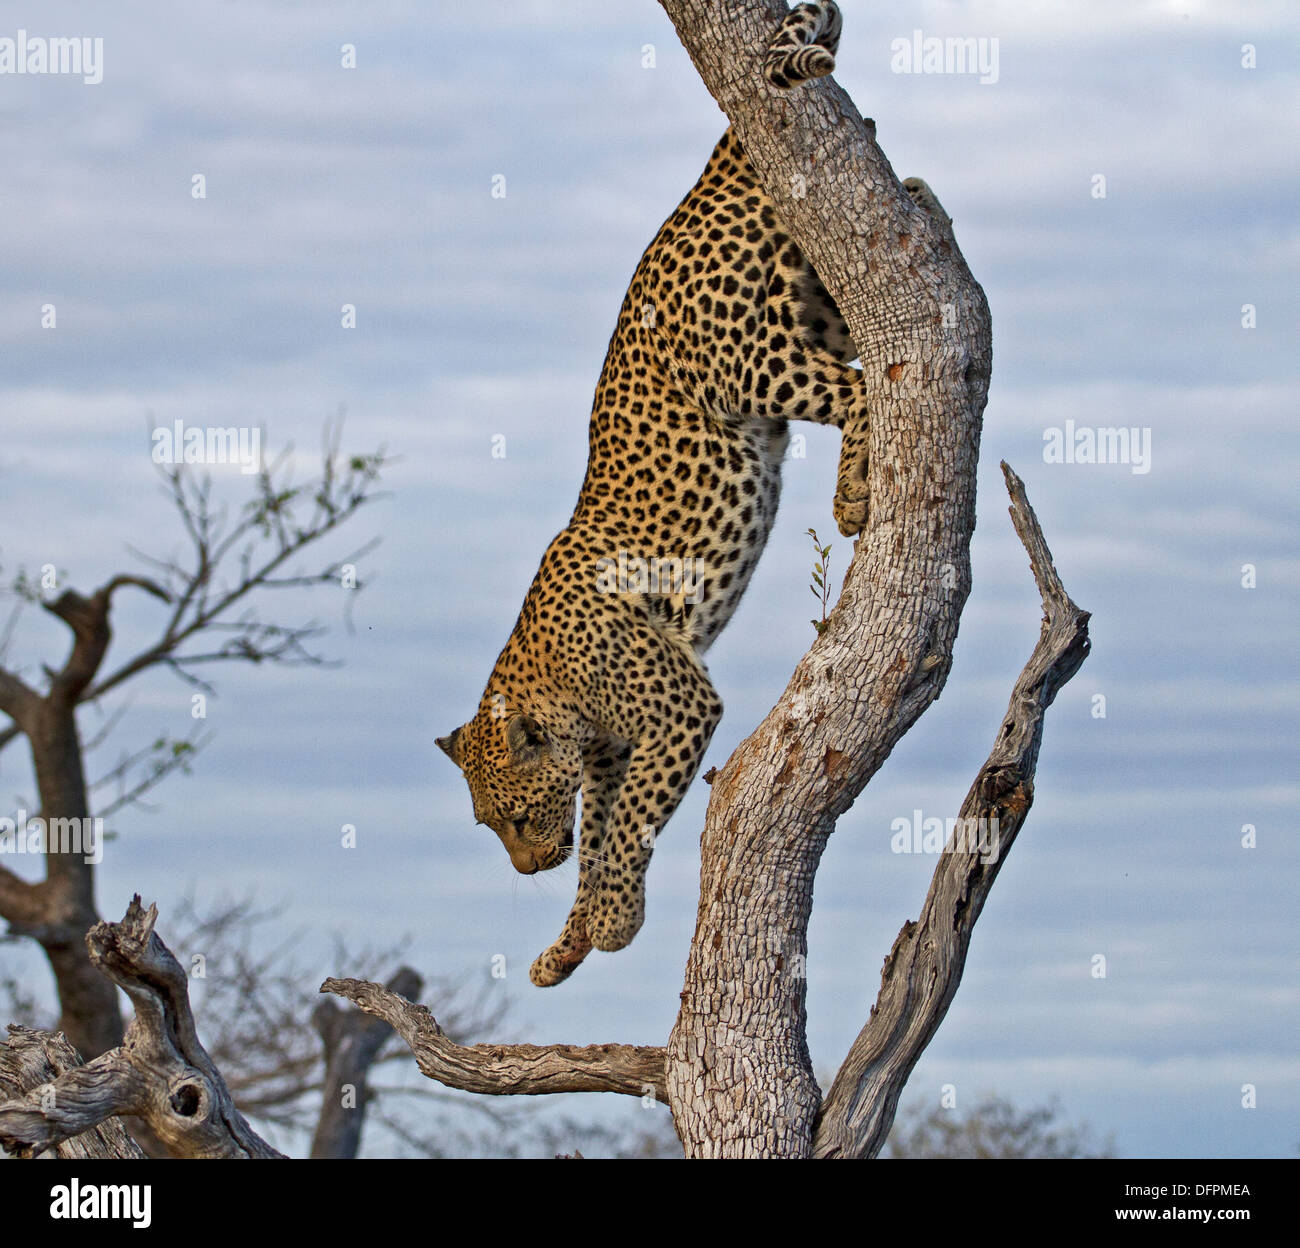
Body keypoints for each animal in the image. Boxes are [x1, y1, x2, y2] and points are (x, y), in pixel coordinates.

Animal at [437, 2, 940, 986]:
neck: (550, 683)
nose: (526, 864)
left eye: (511, 817)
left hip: (747, 364)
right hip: (802, 305)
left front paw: (609, 921)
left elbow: (629, 823)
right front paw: (568, 943)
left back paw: (857, 501)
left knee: (863, 385)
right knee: (864, 359)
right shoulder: (609, 752)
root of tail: (700, 185)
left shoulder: (675, 711)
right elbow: (601, 827)